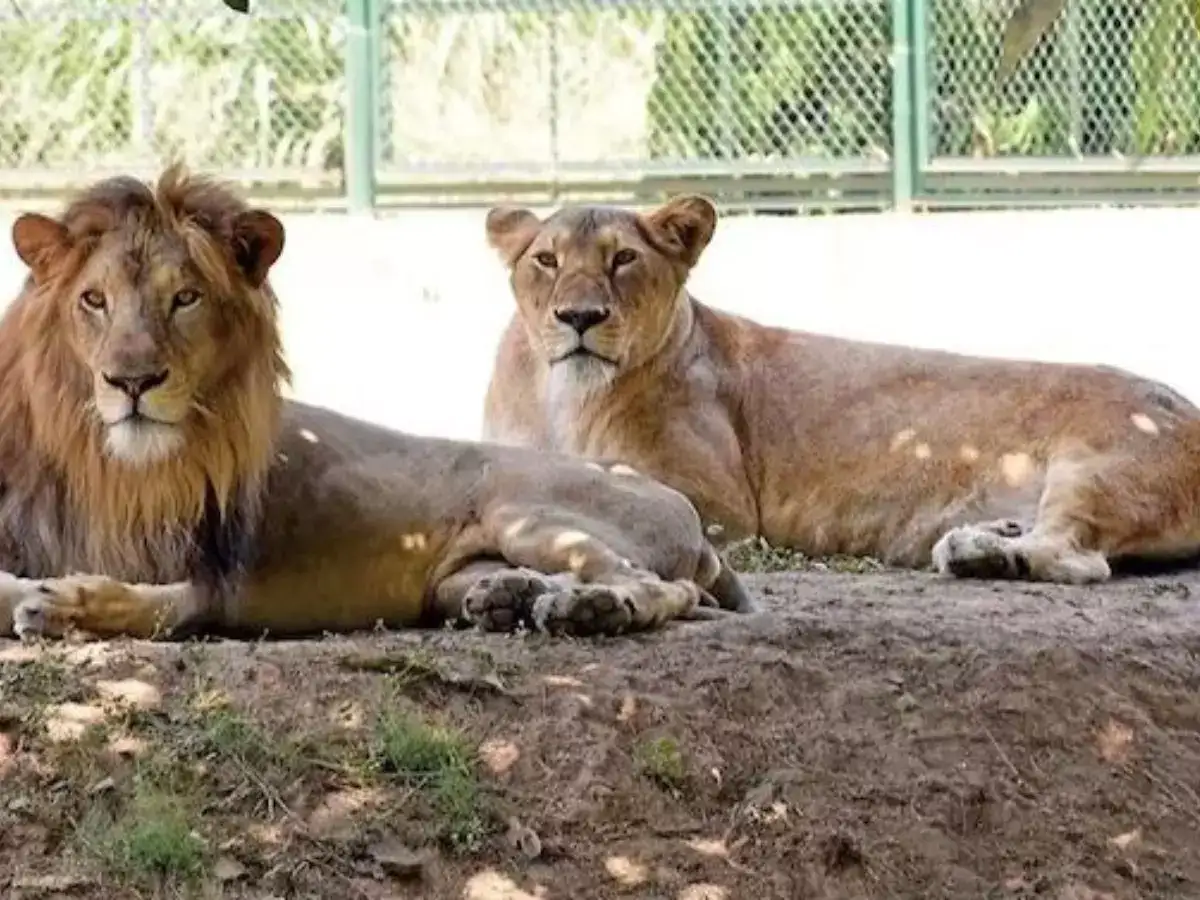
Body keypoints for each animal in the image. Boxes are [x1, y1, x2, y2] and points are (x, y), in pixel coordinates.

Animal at [0, 168, 754, 643]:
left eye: (185, 298)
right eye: (93, 300)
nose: (132, 381)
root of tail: (679, 509)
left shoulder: (220, 581)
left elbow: (159, 606)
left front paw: (68, 602)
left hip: (527, 507)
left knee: (661, 588)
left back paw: (590, 608)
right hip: (463, 570)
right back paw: (511, 600)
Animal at [482, 194, 1200, 585]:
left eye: (623, 259)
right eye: (546, 259)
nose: (579, 317)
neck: (563, 399)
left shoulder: (727, 511)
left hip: (1101, 467)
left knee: (1078, 557)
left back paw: (976, 552)